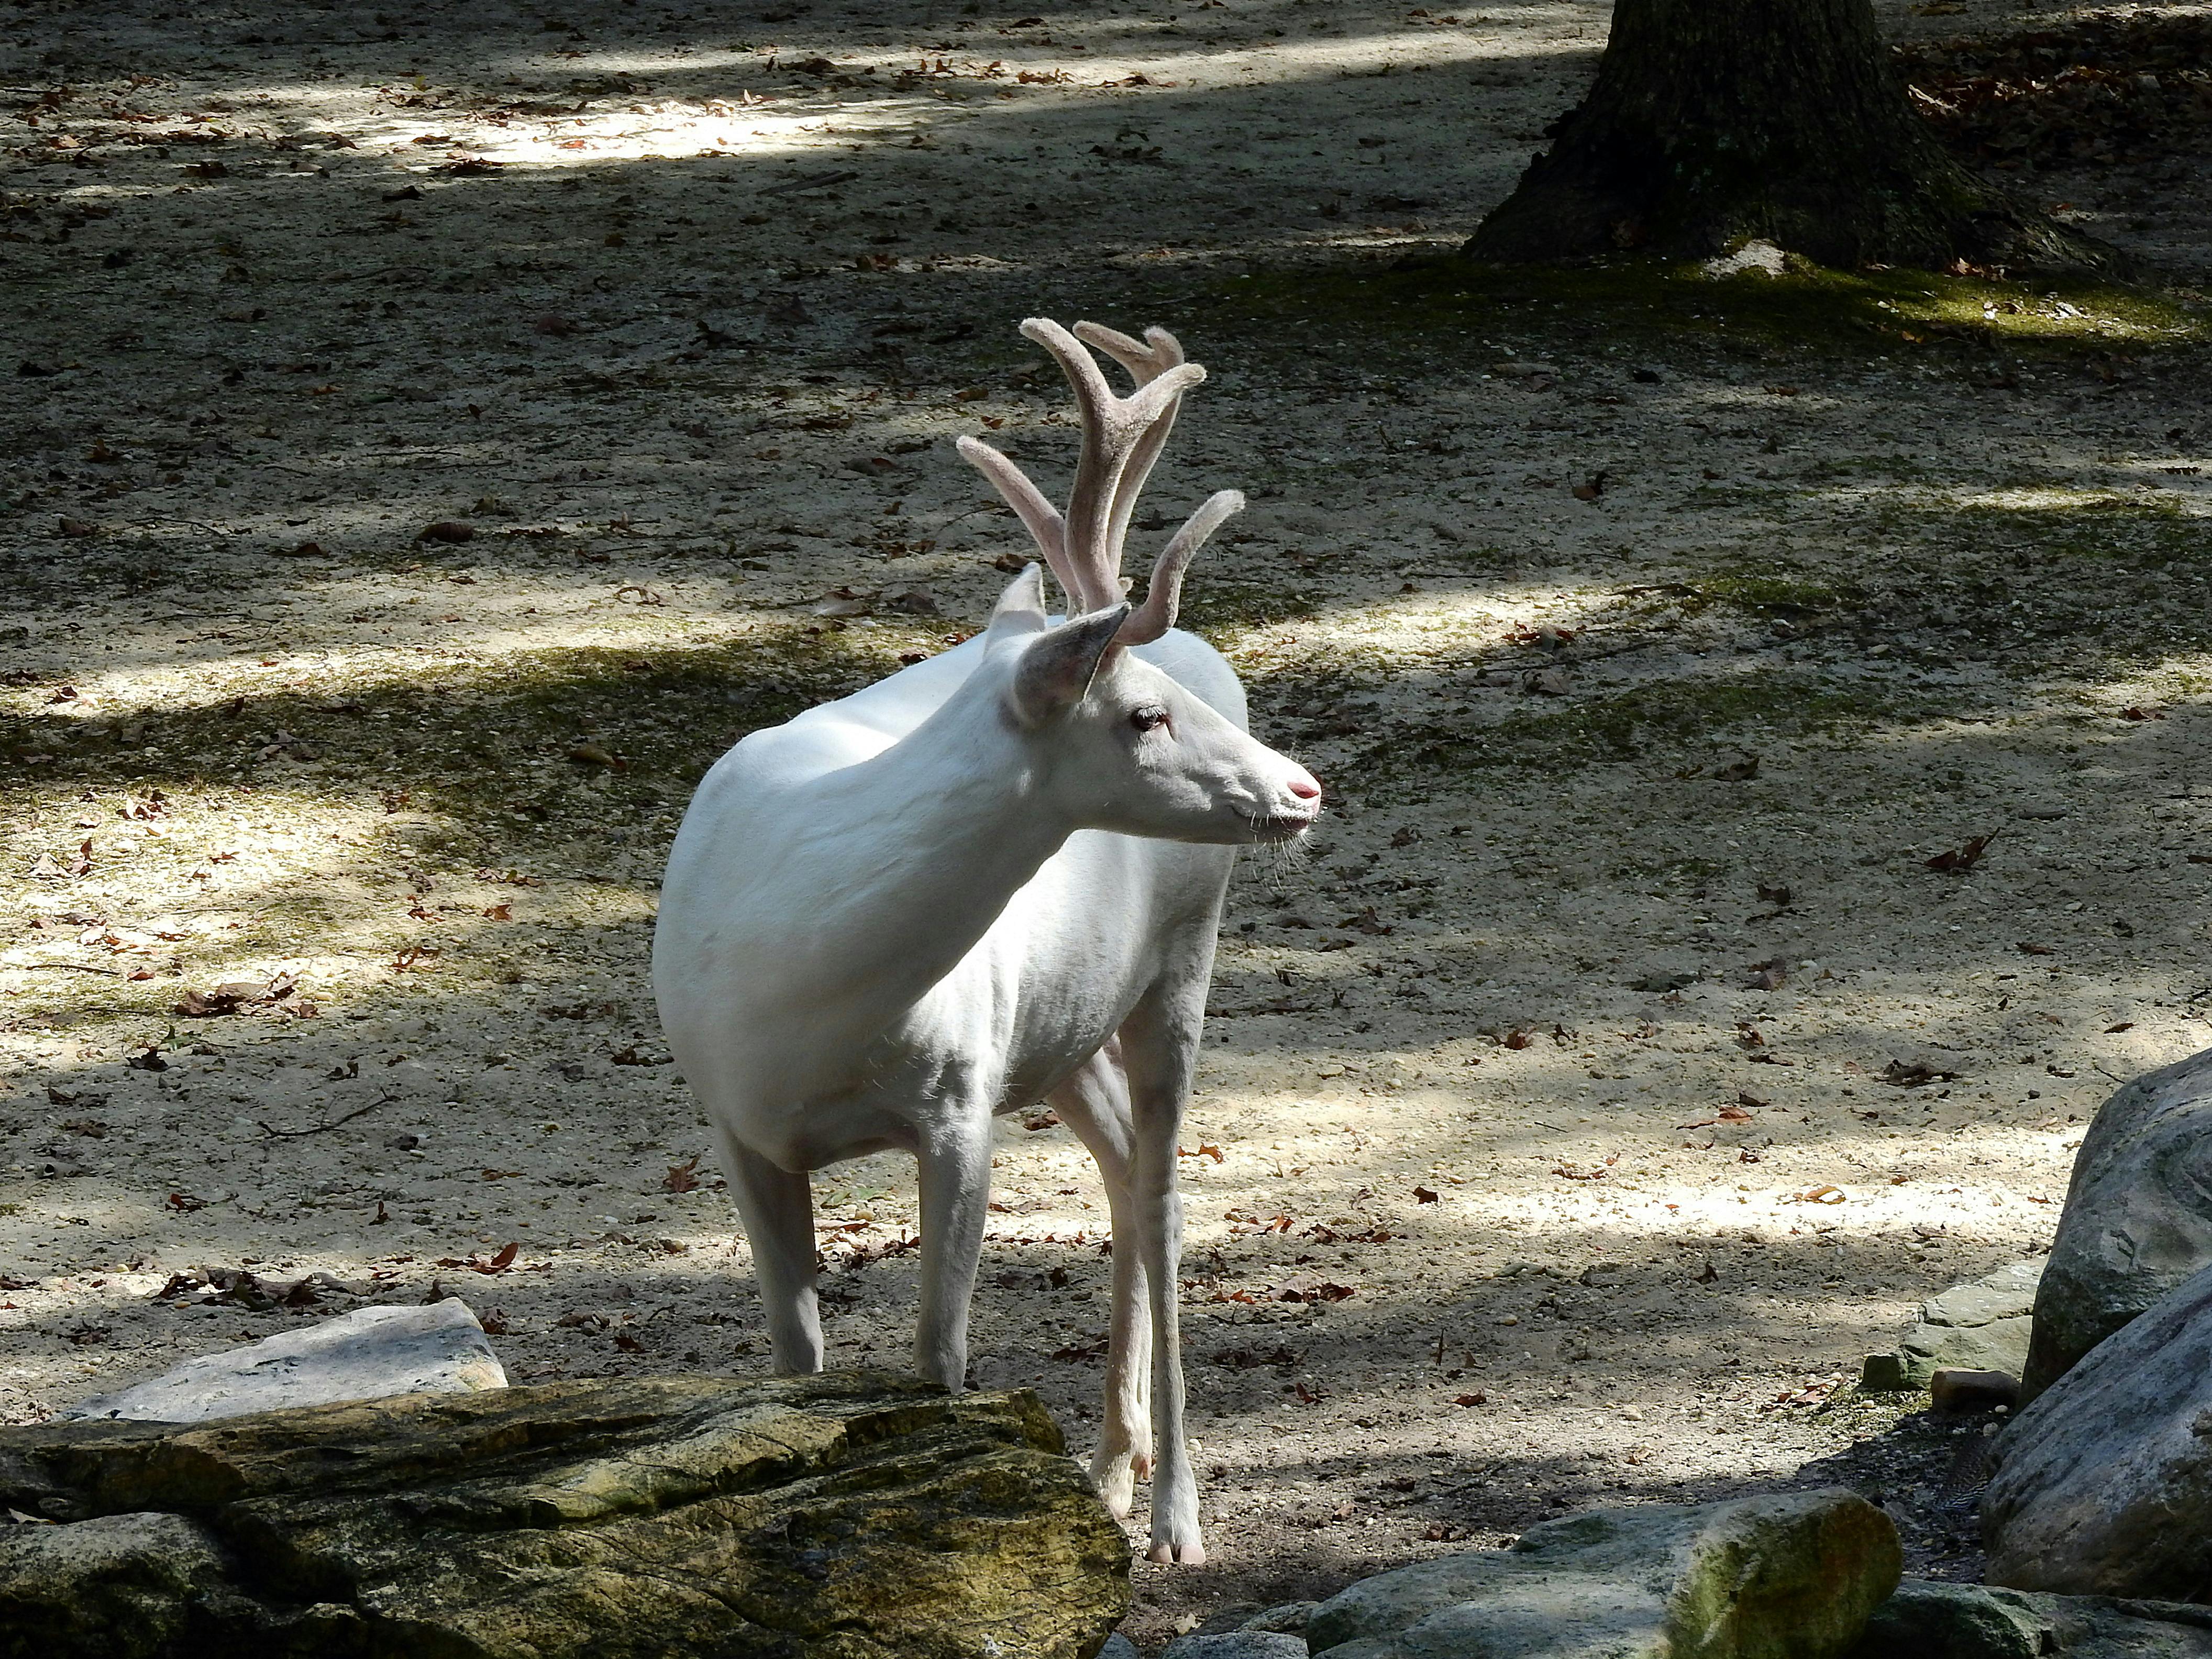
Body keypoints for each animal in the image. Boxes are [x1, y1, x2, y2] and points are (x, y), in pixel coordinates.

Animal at [652, 317, 1320, 1565]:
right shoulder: (736, 1122)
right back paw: (1108, 1471)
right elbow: (796, 1353)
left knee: (1164, 1193)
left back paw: (1173, 1517)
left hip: (1180, 956)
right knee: (1121, 1166)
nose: (1304, 788)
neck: (807, 1000)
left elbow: (939, 1353)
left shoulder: (957, 1101)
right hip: (1060, 1031)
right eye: (1139, 714)